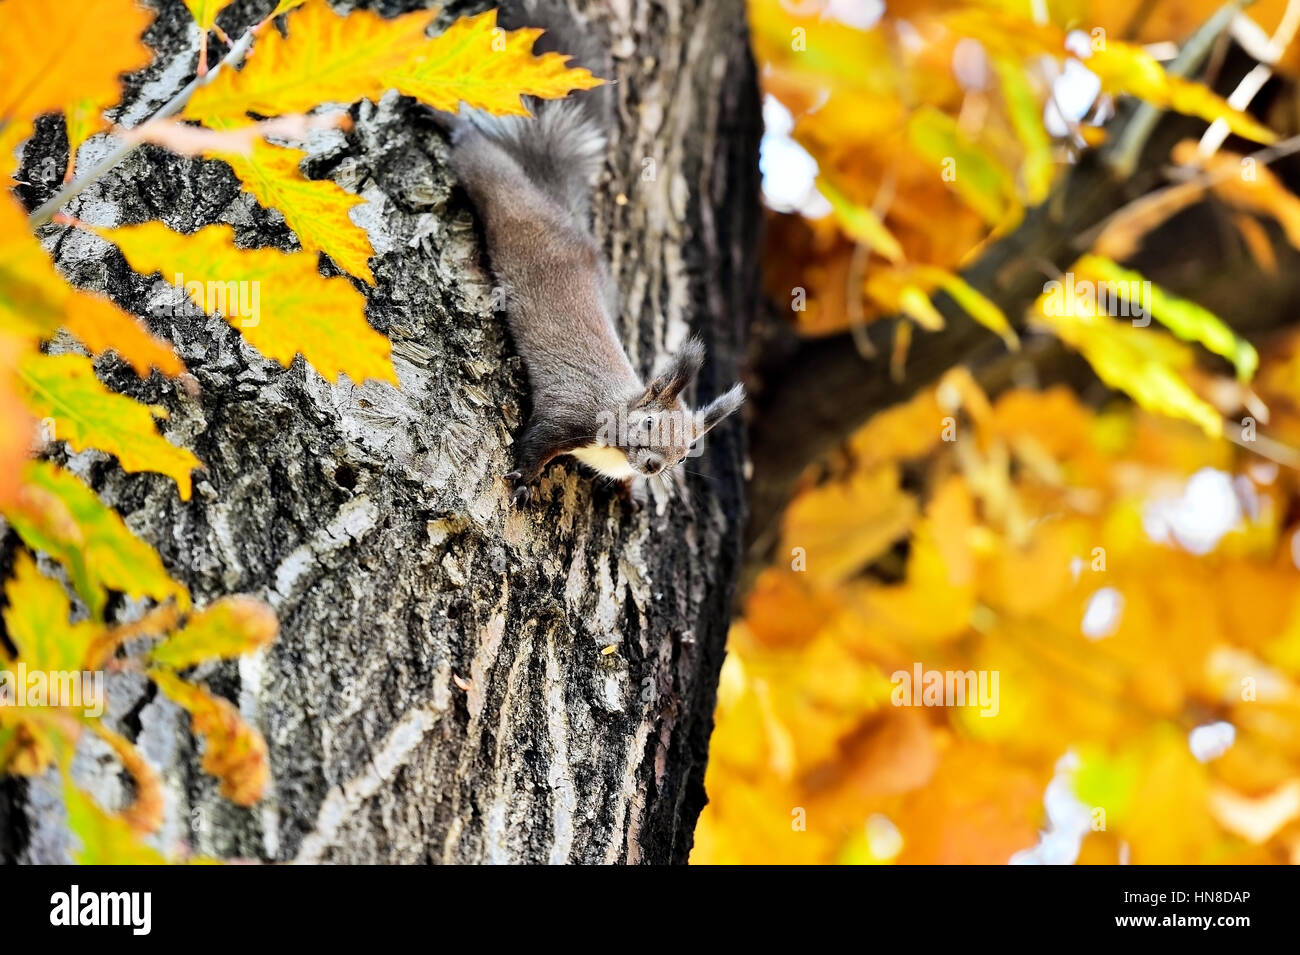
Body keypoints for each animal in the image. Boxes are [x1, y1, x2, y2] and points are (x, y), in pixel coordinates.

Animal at [444, 0, 745, 506]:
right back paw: (445, 121)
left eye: (687, 452)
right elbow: (536, 442)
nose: (654, 466)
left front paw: (632, 494)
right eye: (648, 422)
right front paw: (523, 479)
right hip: (500, 192)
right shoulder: (568, 413)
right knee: (477, 155)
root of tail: (559, 212)